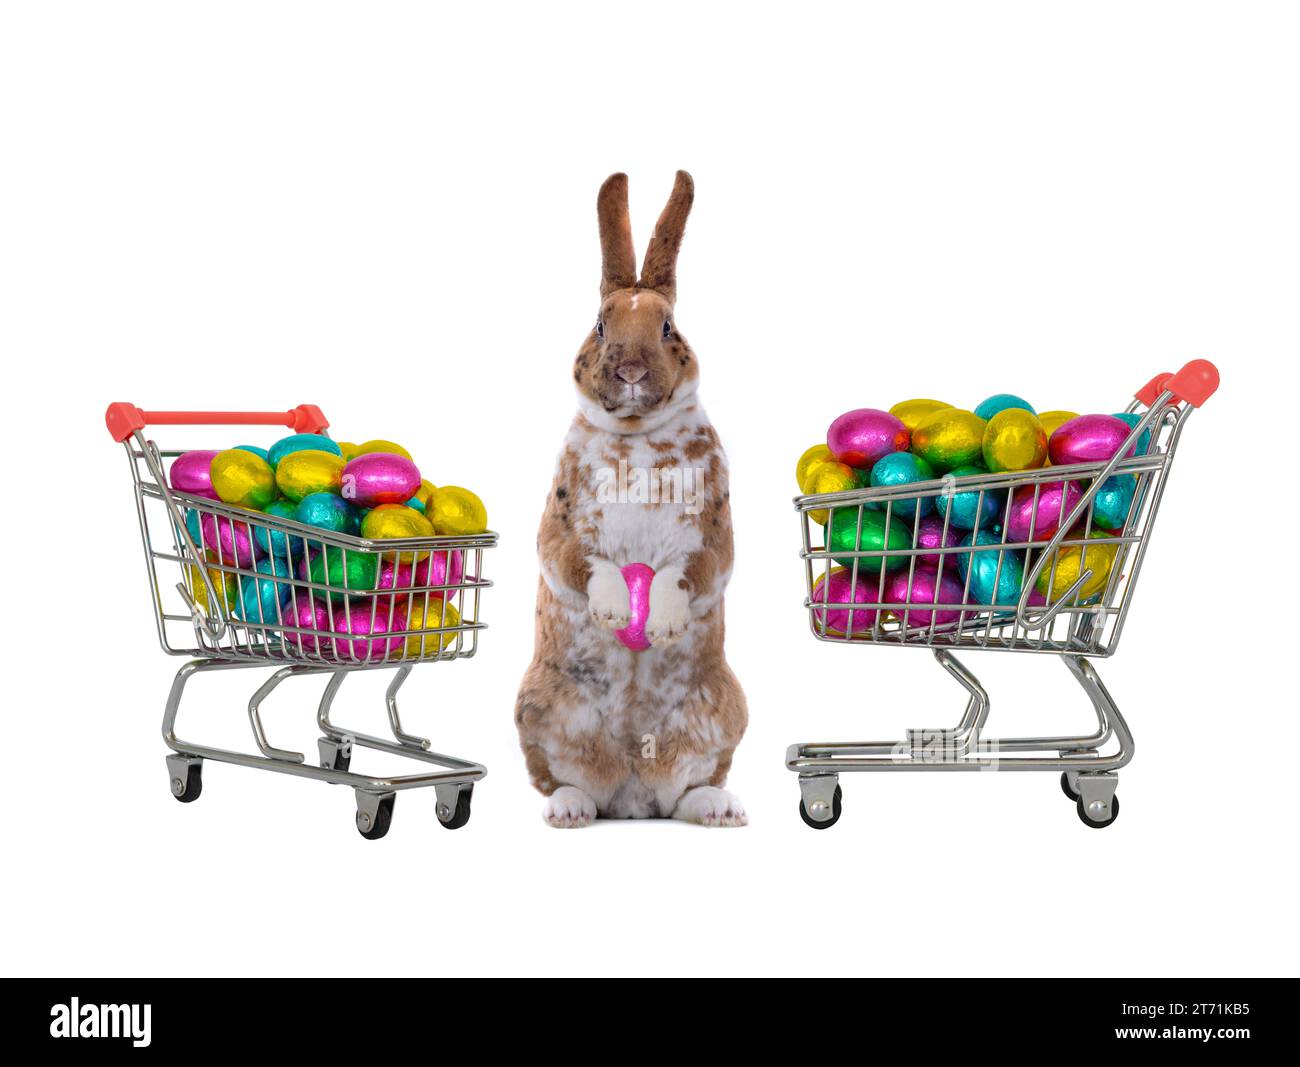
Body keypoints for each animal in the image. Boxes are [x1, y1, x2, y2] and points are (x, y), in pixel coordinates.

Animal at [514, 170, 748, 828]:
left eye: (668, 327)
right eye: (600, 324)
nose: (632, 371)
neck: (639, 435)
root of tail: (633, 796)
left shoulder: (712, 536)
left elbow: (683, 574)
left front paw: (661, 622)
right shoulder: (560, 528)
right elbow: (583, 564)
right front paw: (618, 614)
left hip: (726, 711)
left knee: (690, 789)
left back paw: (720, 809)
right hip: (535, 707)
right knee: (558, 781)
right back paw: (570, 811)